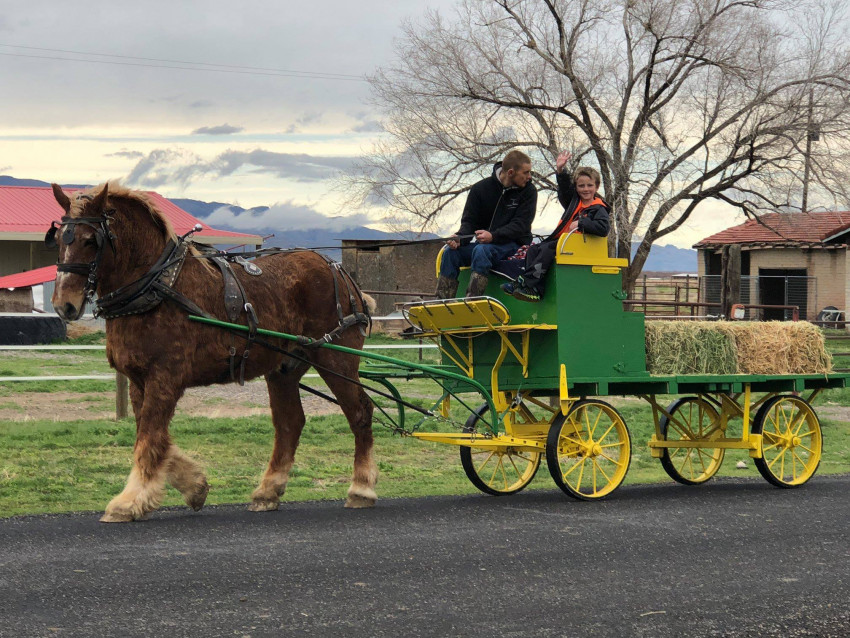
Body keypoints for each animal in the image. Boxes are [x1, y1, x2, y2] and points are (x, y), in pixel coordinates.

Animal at [48, 181, 378, 522]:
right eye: (59, 239)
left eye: (90, 240)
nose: (64, 305)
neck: (159, 286)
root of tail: (339, 271)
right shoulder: (140, 382)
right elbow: (156, 439)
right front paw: (194, 485)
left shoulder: (165, 379)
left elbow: (149, 440)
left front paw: (129, 501)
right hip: (285, 368)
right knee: (290, 423)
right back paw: (268, 490)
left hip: (336, 359)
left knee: (360, 412)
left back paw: (361, 488)